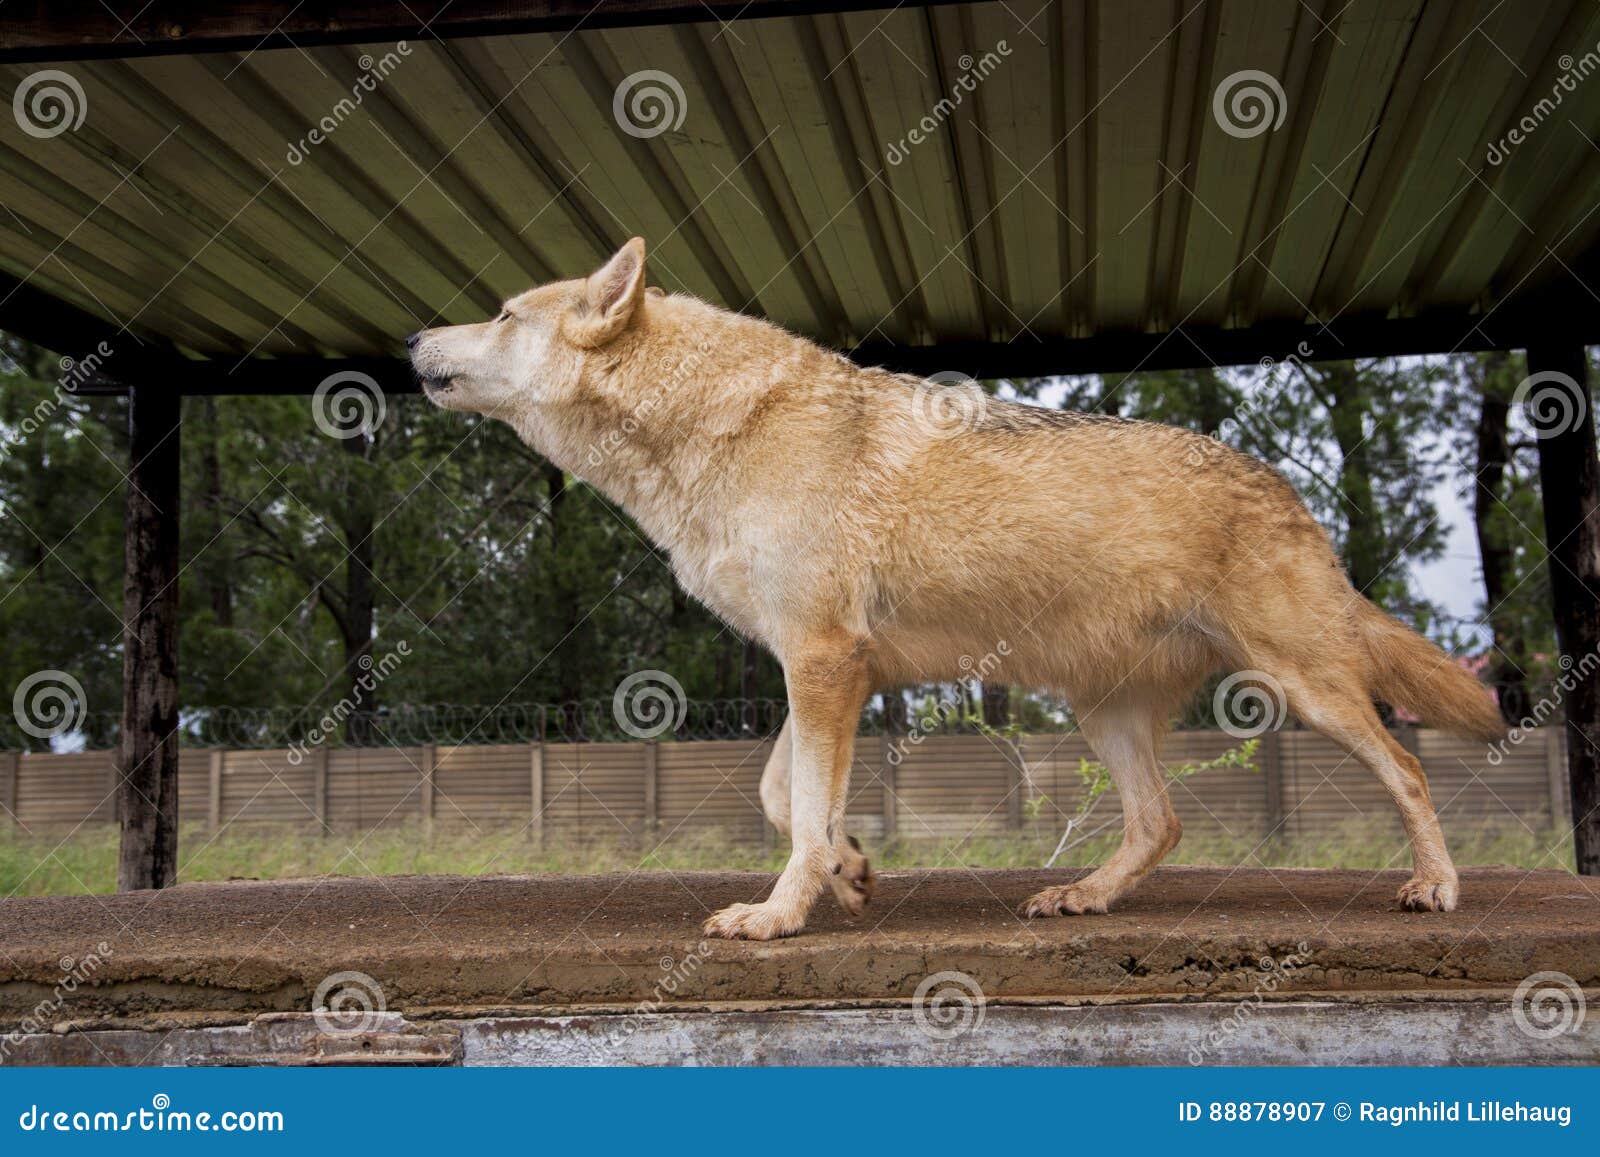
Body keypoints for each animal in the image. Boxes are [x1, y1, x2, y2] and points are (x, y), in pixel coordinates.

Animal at [408, 238, 1503, 940]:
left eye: (501, 314)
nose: (415, 337)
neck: (711, 430)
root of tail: (1291, 492)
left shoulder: (824, 661)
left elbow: (798, 807)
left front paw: (778, 914)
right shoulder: (818, 664)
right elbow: (784, 797)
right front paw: (848, 869)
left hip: (1306, 691)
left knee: (1409, 770)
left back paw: (1435, 887)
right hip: (1105, 714)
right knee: (1162, 822)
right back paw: (1082, 898)